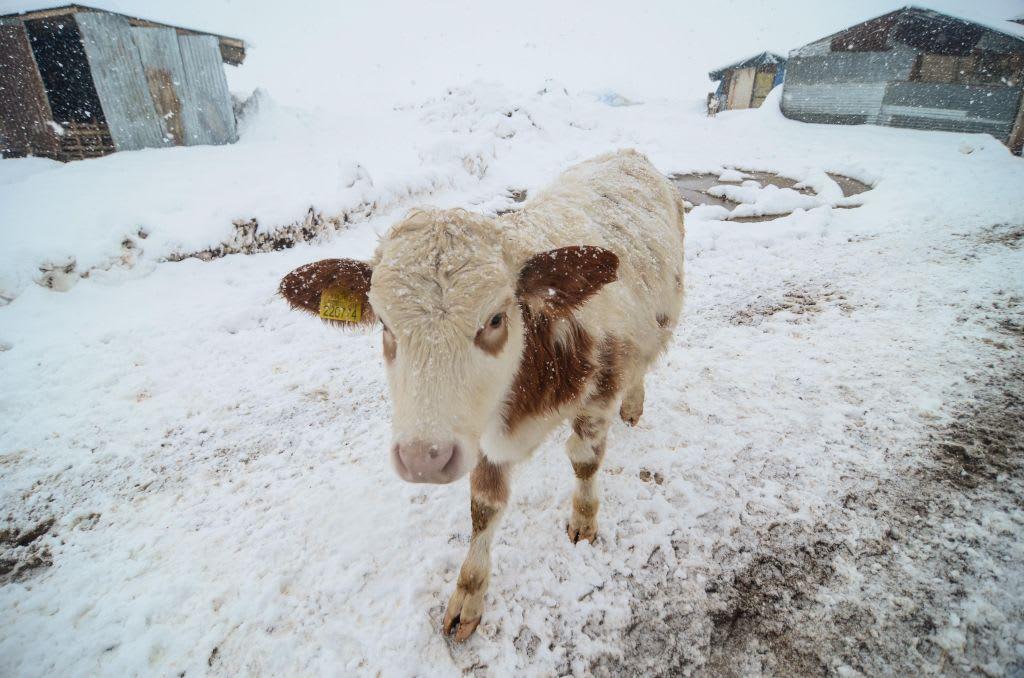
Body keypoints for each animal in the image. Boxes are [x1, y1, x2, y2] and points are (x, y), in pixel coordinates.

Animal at [279, 149, 685, 641]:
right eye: (384, 324)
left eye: (494, 319)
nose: (423, 458)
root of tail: (625, 154)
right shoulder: (482, 435)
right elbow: (484, 507)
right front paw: (468, 595)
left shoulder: (600, 390)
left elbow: (585, 461)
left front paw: (585, 520)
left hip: (662, 316)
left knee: (645, 361)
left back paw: (634, 403)